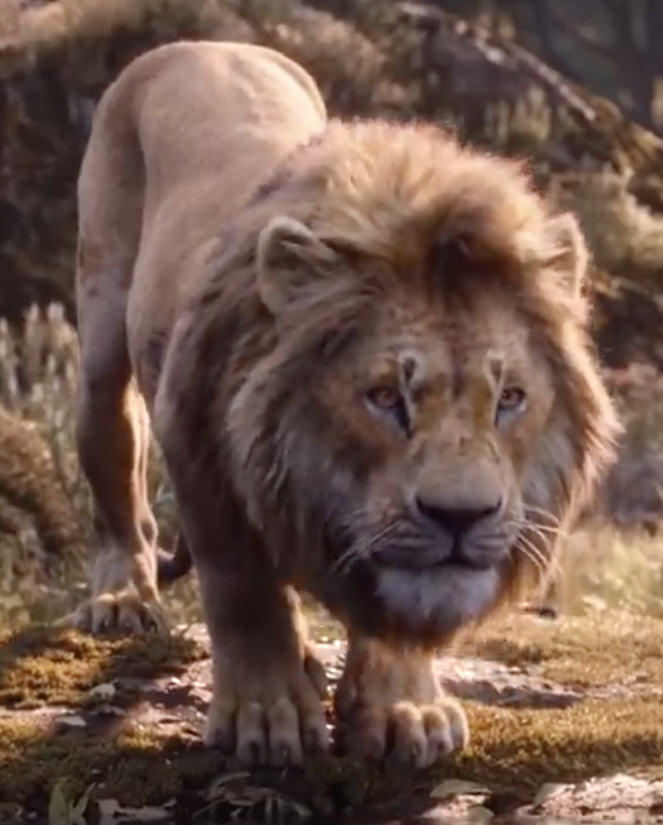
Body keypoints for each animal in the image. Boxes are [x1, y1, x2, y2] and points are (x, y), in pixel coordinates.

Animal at [66, 40, 622, 769]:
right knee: (117, 480)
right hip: (102, 337)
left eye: (509, 399)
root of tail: (204, 43)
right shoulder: (194, 441)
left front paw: (405, 710)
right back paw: (122, 596)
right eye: (384, 397)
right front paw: (265, 713)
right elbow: (243, 587)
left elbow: (396, 613)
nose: (461, 516)